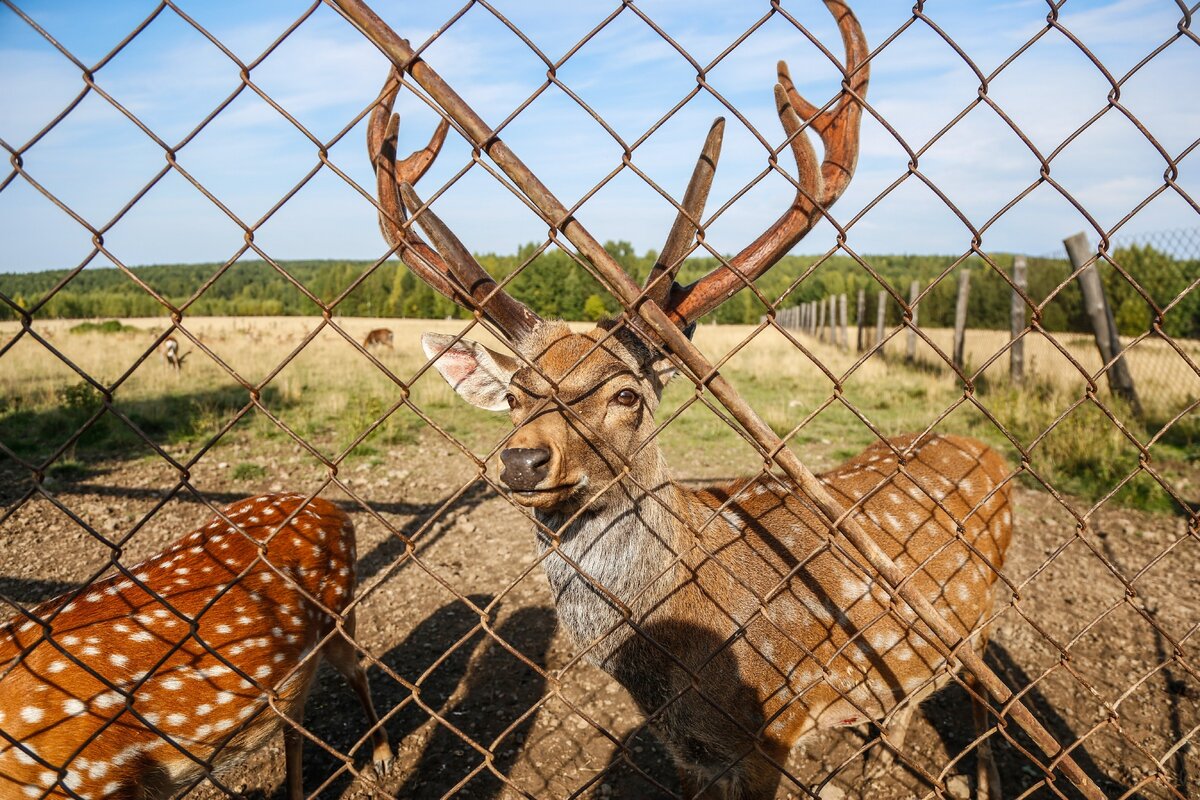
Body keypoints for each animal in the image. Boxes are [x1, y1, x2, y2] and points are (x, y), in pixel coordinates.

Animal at [0, 494, 388, 800]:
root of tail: (335, 508)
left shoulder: (100, 778)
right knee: (295, 720)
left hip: (339, 611)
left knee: (358, 672)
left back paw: (382, 755)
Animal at [357, 3, 1012, 796]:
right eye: (514, 394)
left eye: (626, 394)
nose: (522, 461)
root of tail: (989, 451)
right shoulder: (691, 752)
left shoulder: (773, 728)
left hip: (986, 616)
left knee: (980, 689)